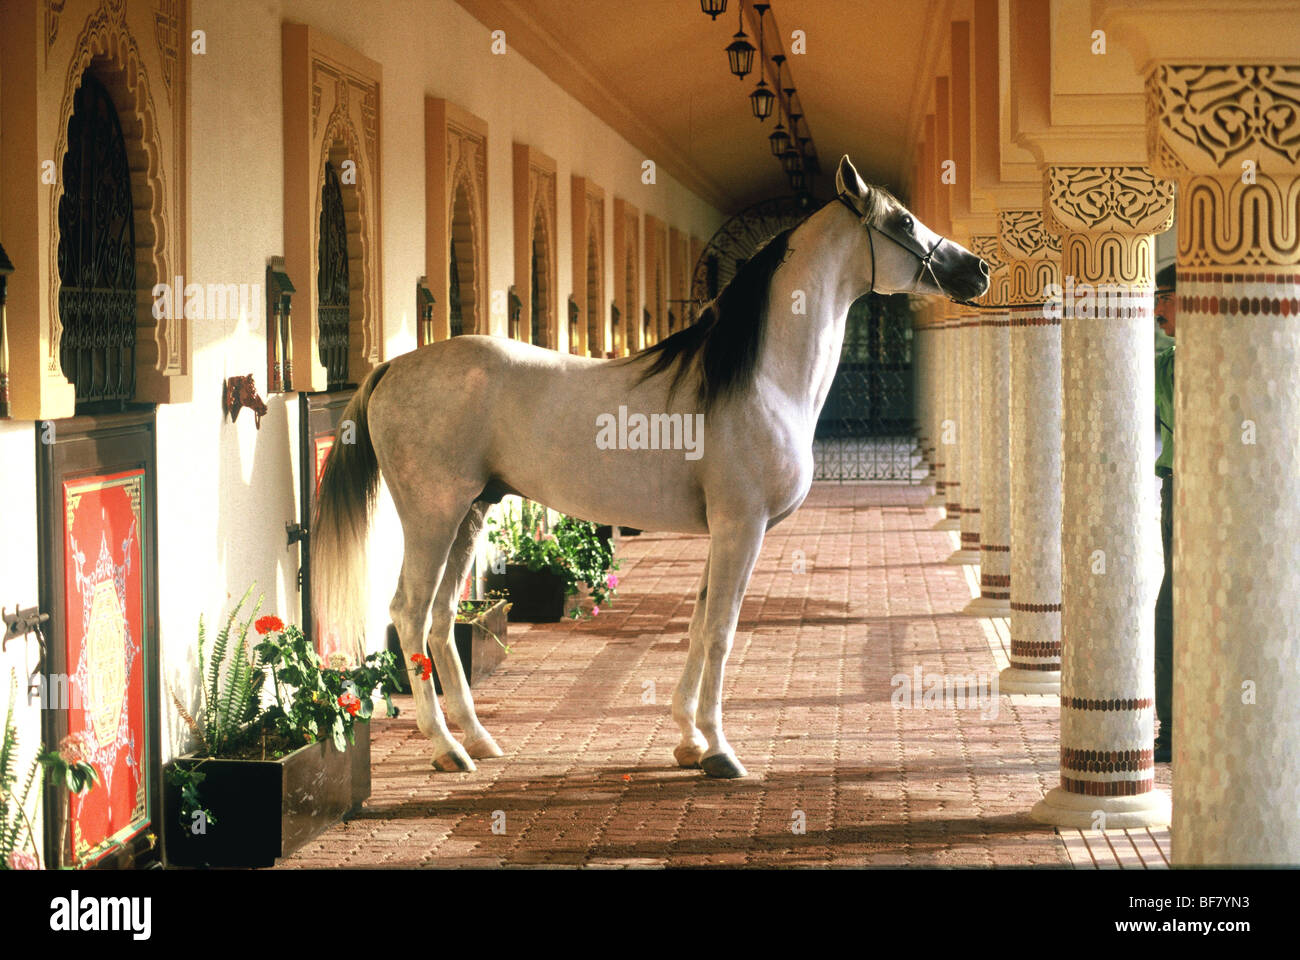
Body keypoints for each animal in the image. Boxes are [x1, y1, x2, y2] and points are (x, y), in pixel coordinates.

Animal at [313, 155, 989, 778]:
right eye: (903, 220)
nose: (977, 269)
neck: (759, 381)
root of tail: (393, 367)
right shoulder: (743, 526)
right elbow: (720, 632)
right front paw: (720, 751)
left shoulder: (724, 530)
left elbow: (697, 624)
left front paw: (688, 742)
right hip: (434, 514)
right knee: (409, 612)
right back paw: (446, 749)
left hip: (471, 513)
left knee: (442, 617)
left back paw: (478, 741)